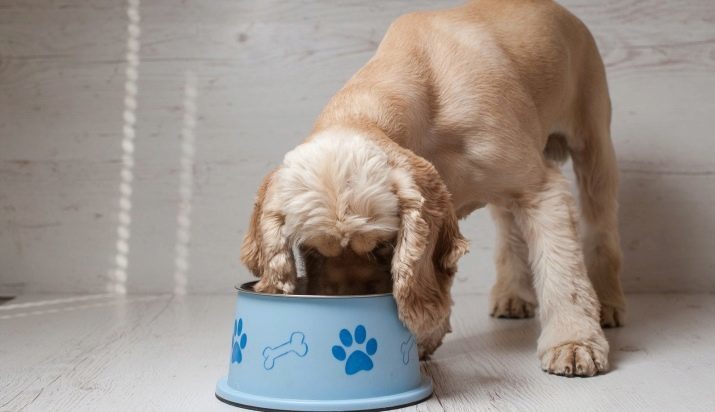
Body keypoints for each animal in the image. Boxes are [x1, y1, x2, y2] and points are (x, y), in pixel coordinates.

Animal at [239, 0, 620, 378]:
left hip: (594, 143)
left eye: (382, 248)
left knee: (601, 226)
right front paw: (422, 340)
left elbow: (561, 270)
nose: (350, 305)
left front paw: (574, 342)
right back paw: (512, 295)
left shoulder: (540, 189)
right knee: (509, 228)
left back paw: (609, 303)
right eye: (310, 251)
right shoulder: (443, 210)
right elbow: (438, 276)